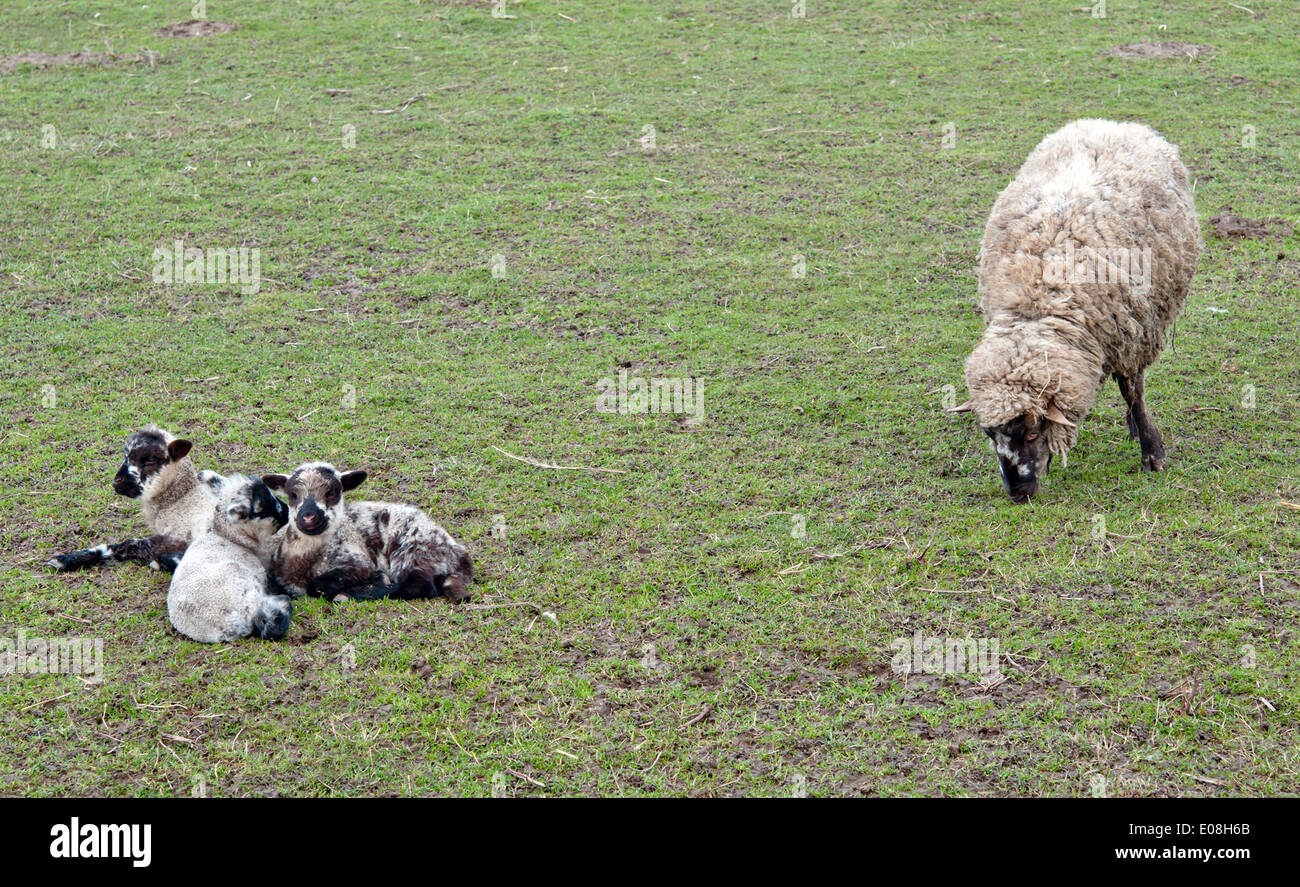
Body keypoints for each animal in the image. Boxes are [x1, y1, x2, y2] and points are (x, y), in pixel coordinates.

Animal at [48, 425, 225, 572]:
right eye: (125, 456)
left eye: (151, 460)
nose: (116, 482)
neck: (182, 499)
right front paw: (68, 558)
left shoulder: (178, 536)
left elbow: (129, 544)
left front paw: (64, 560)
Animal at [261, 462, 473, 603]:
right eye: (292, 495)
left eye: (332, 493)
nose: (308, 518)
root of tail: (457, 550)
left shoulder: (357, 562)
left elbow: (318, 586)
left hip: (413, 549)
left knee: (419, 585)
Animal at [950, 119, 1201, 502]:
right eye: (989, 434)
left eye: (1032, 433)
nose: (1018, 494)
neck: (1038, 306)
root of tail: (1111, 123)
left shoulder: (1129, 336)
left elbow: (1134, 393)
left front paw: (1151, 451)